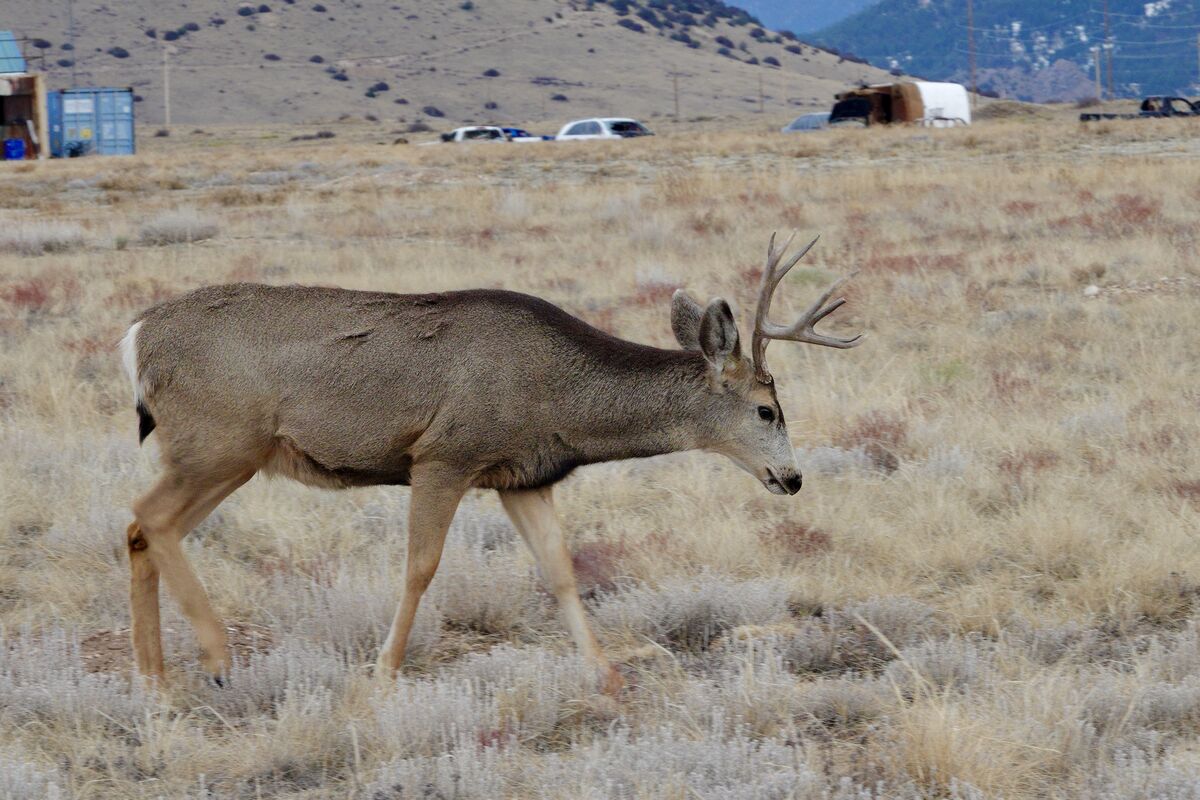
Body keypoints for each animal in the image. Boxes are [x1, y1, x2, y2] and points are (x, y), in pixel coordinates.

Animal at [118, 233, 862, 690]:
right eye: (767, 410)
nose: (792, 478)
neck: (555, 396)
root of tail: (136, 336)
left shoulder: (523, 477)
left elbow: (561, 572)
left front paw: (608, 676)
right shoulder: (444, 455)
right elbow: (420, 568)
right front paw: (384, 671)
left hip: (221, 452)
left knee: (142, 529)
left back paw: (155, 678)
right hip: (220, 441)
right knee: (150, 518)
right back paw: (215, 658)